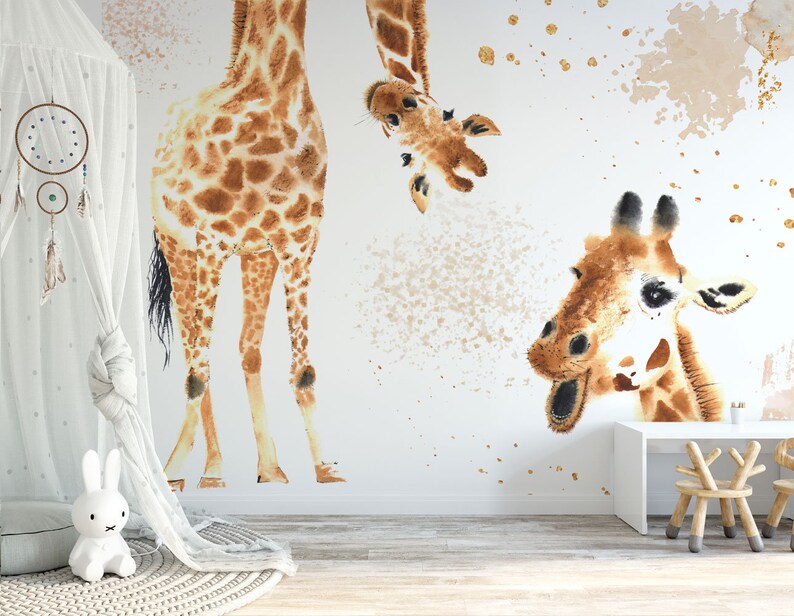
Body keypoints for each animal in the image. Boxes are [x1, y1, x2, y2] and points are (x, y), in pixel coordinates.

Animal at [148, 0, 499, 489]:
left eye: (448, 115)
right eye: (406, 151)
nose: (392, 100)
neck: (269, 90)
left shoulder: (297, 242)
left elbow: (304, 371)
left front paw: (325, 468)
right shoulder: (212, 239)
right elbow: (197, 373)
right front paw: (173, 471)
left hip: (255, 255)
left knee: (247, 349)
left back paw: (270, 469)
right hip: (178, 247)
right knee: (192, 352)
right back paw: (207, 472)